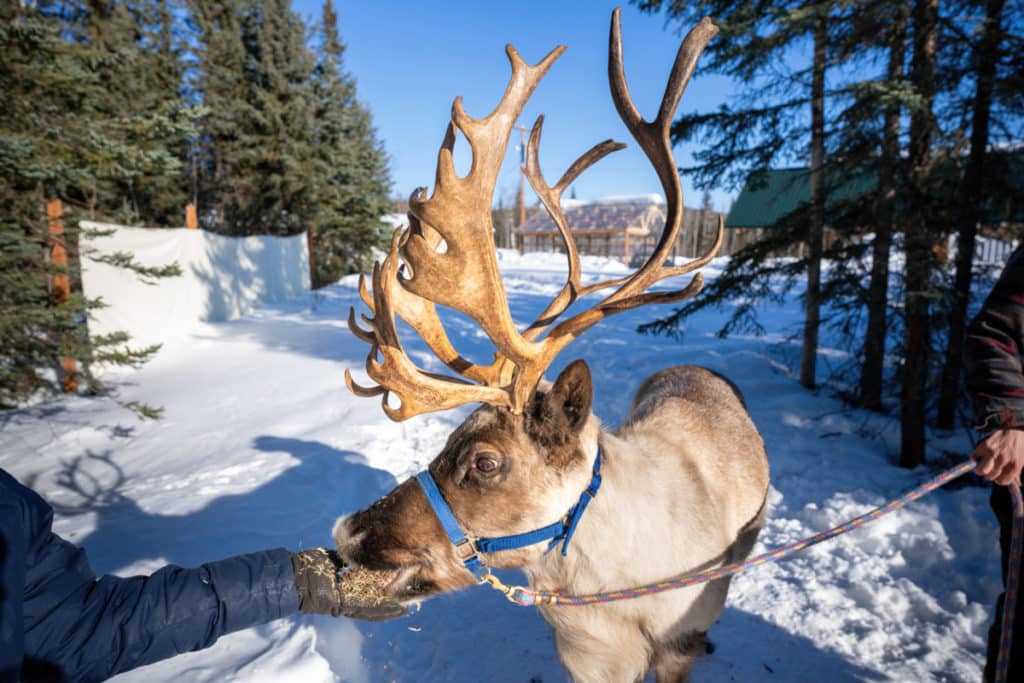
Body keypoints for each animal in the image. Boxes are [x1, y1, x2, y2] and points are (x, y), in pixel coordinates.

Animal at [333, 10, 769, 683]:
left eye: (485, 463)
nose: (347, 532)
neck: (616, 585)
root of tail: (691, 366)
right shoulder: (589, 659)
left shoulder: (679, 643)